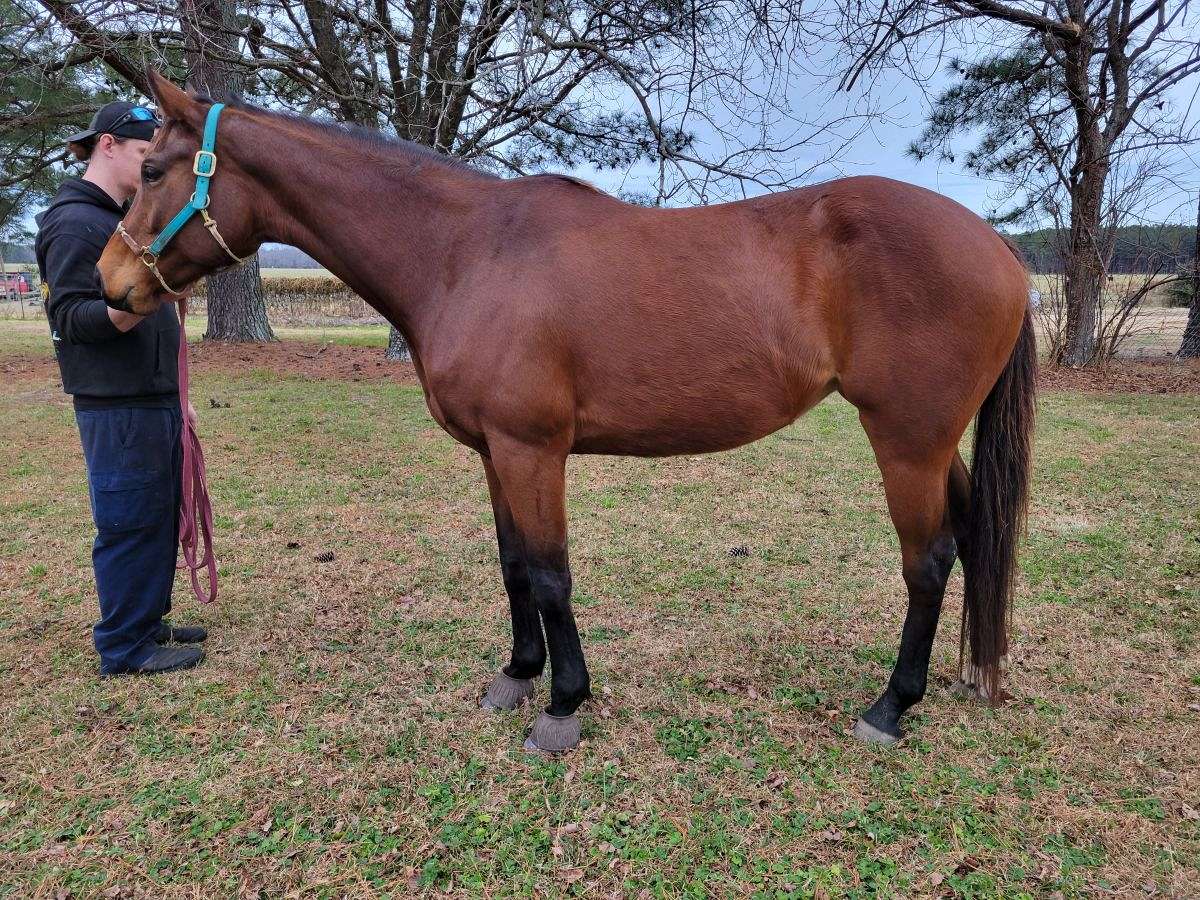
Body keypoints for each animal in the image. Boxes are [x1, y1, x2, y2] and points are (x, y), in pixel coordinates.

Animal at [98, 69, 1035, 753]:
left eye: (152, 171)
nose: (110, 284)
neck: (468, 252)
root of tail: (999, 249)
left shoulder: (532, 448)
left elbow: (551, 573)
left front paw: (562, 706)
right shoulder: (494, 452)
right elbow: (515, 563)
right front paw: (517, 675)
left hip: (905, 439)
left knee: (928, 560)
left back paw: (890, 706)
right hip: (933, 441)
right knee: (968, 537)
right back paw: (963, 674)